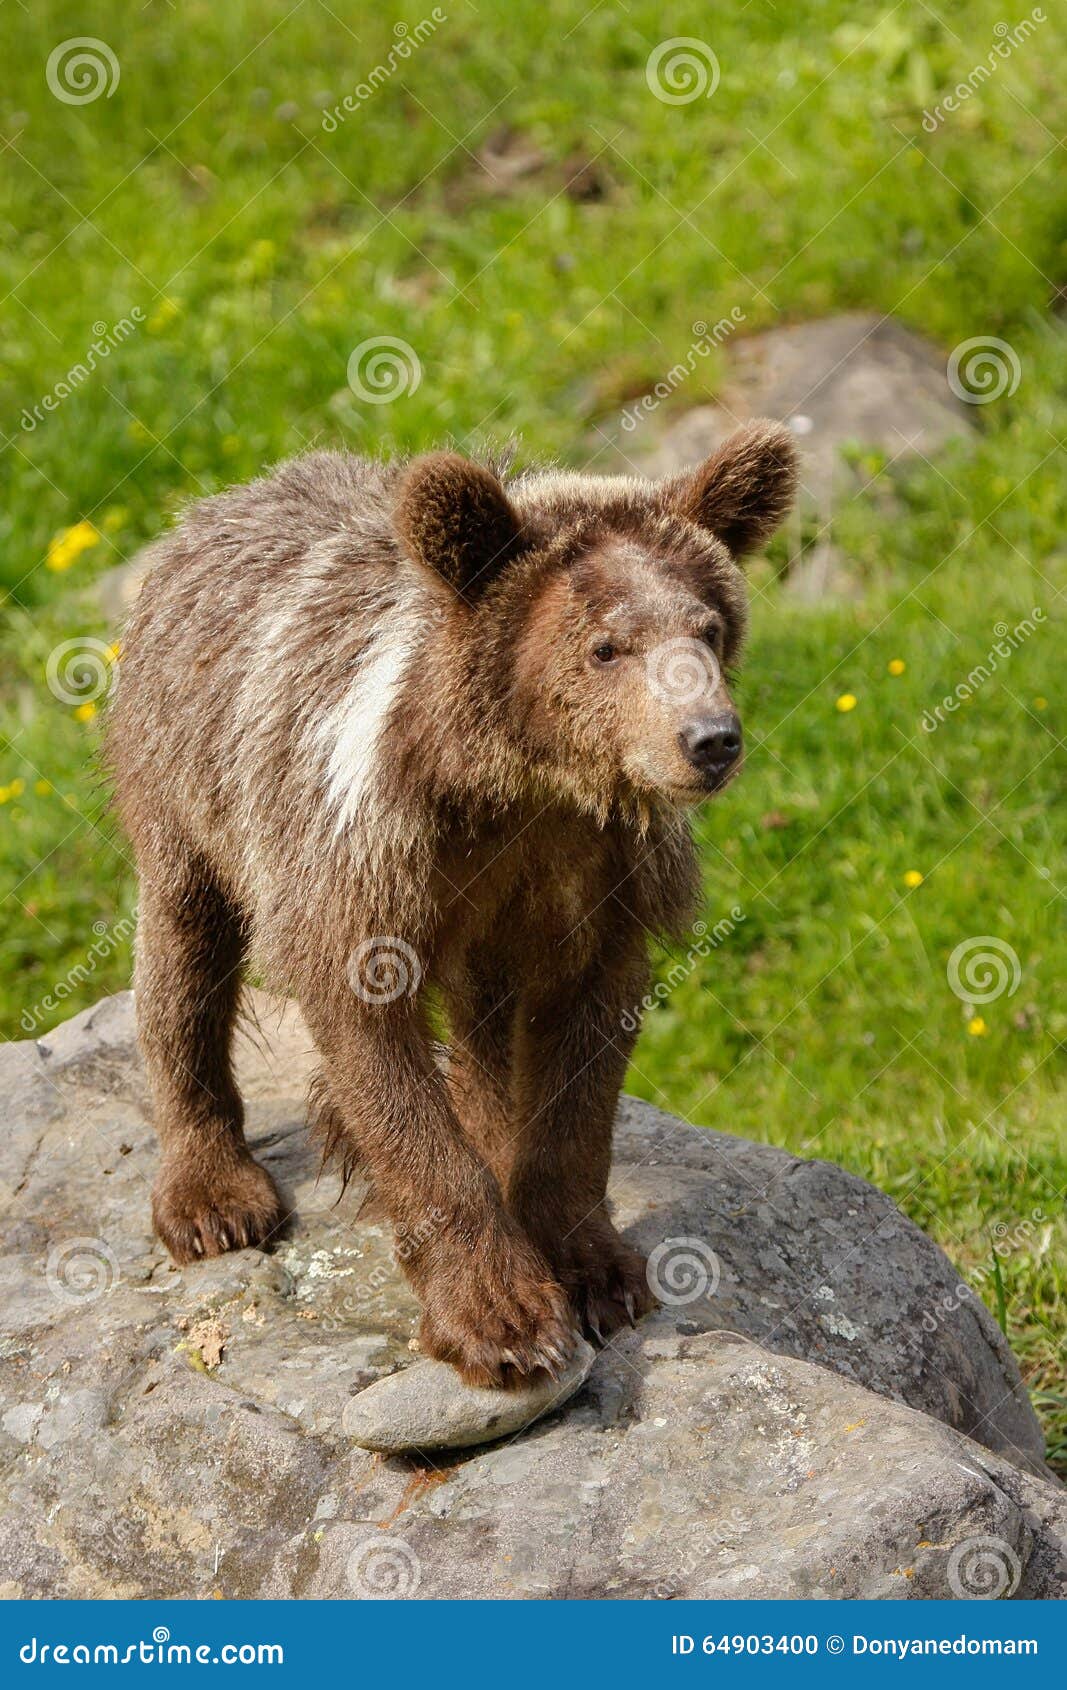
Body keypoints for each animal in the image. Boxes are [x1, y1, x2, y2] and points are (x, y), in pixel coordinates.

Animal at [105, 420, 797, 1387]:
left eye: (708, 627)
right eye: (606, 646)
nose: (709, 740)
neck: (520, 789)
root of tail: (216, 504)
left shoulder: (597, 876)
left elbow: (582, 1062)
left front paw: (596, 1268)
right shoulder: (363, 858)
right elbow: (376, 1054)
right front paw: (503, 1317)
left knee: (483, 1020)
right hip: (182, 777)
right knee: (182, 954)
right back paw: (212, 1195)